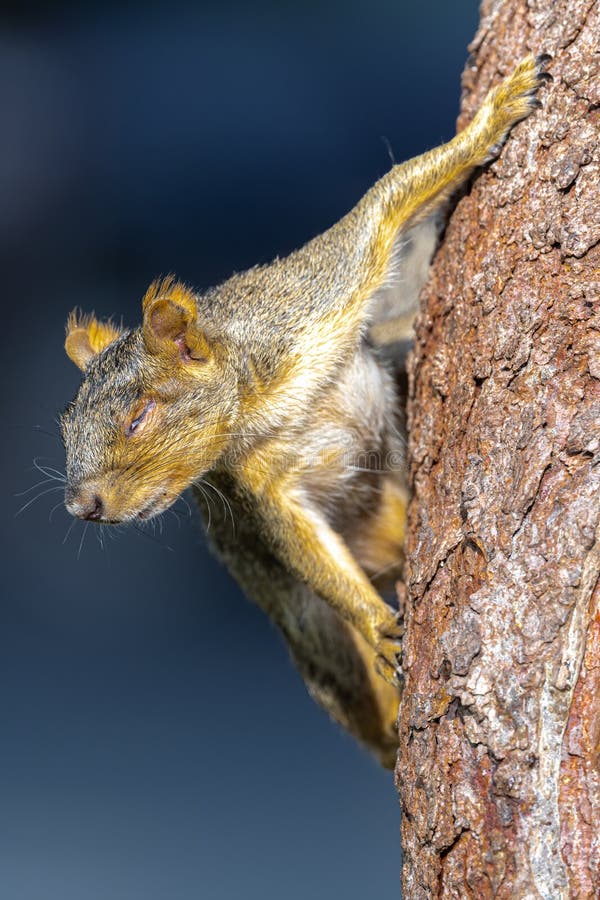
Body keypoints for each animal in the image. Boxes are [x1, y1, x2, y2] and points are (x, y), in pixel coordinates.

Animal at [61, 56, 549, 768]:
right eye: (66, 428)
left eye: (138, 418)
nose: (82, 505)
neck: (265, 402)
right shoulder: (261, 485)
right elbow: (300, 543)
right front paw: (377, 624)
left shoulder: (325, 287)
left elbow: (389, 198)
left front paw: (498, 110)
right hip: (313, 634)